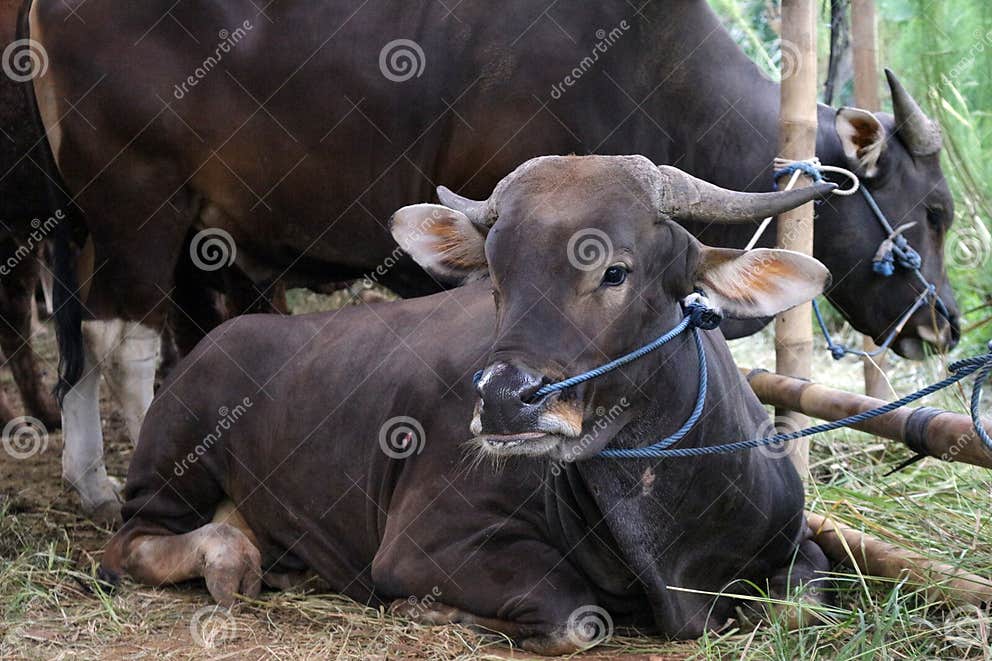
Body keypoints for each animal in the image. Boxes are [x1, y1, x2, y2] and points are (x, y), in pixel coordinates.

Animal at [22, 0, 959, 522]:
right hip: (138, 200)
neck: (650, 72)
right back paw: (127, 477)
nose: (947, 321)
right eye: (937, 210)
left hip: (94, 219)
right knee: (122, 339)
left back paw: (84, 472)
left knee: (80, 330)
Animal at [99, 156, 837, 654]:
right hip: (174, 461)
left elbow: (800, 604)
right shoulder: (425, 546)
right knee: (131, 541)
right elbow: (577, 615)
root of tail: (211, 345)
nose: (506, 399)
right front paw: (429, 612)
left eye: (615, 271)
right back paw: (227, 556)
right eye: (498, 279)